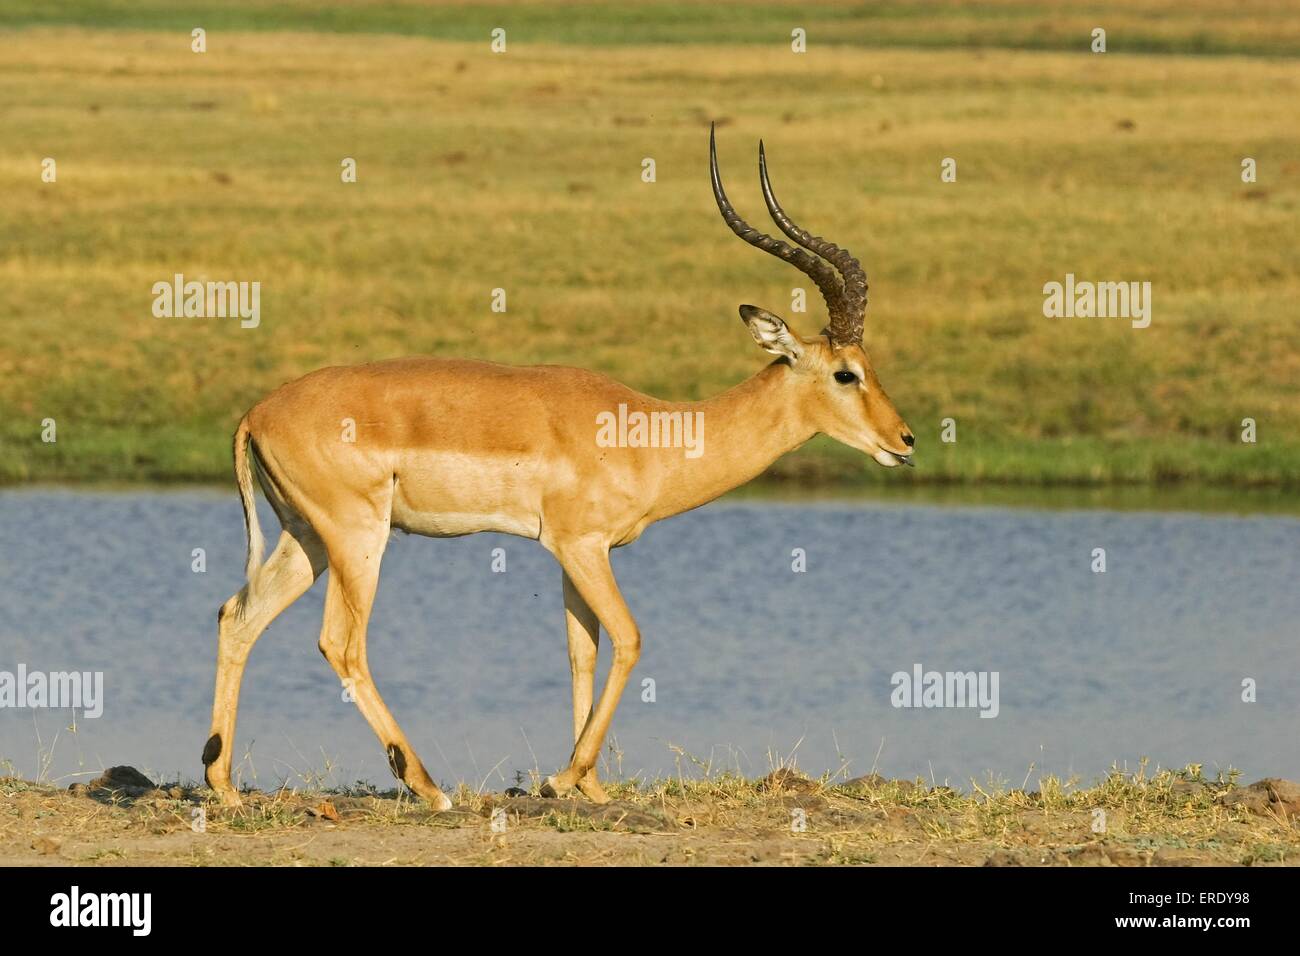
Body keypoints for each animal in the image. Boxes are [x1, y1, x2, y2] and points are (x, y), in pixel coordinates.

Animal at [203, 125, 915, 809]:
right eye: (845, 373)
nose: (904, 440)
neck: (647, 432)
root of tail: (257, 412)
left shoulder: (576, 555)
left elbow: (582, 652)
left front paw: (588, 785)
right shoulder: (581, 546)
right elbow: (628, 639)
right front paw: (561, 779)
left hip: (307, 537)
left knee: (238, 616)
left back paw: (226, 787)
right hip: (357, 538)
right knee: (341, 642)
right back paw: (429, 788)